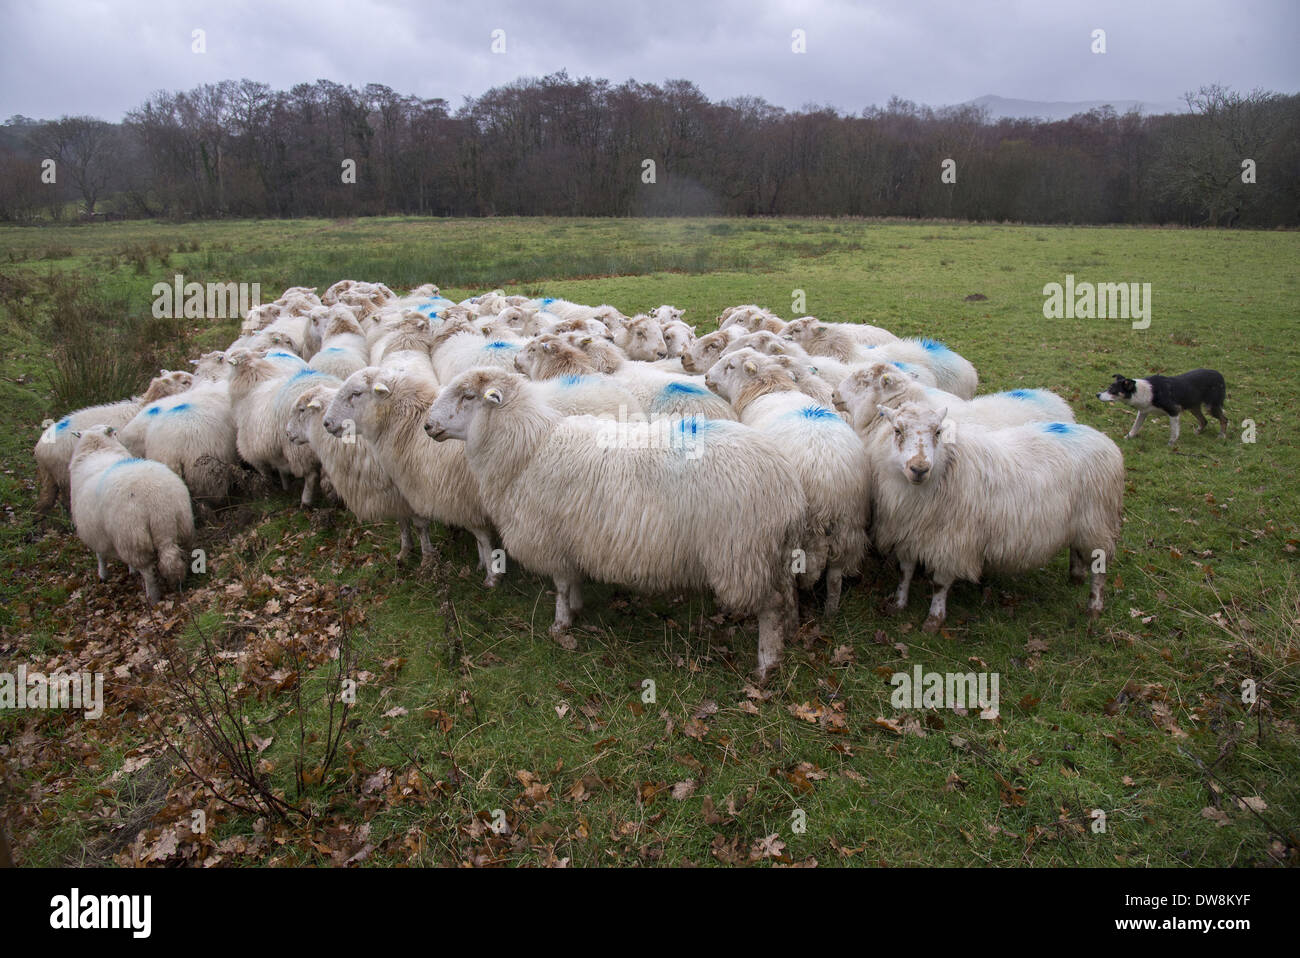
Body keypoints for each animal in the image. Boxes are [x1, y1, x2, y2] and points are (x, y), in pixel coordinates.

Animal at [68, 425, 194, 604]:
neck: (97, 450)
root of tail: (157, 504)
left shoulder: (96, 533)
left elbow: (100, 555)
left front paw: (103, 575)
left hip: (133, 538)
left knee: (148, 572)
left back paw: (153, 598)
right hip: (183, 522)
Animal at [285, 382, 433, 565]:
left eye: (301, 410)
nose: (287, 433)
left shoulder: (410, 492)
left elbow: (420, 526)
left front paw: (427, 558)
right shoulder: (395, 496)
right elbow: (402, 523)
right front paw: (405, 550)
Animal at [422, 368, 806, 681]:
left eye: (467, 396)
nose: (427, 426)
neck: (529, 448)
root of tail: (788, 483)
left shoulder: (550, 537)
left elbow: (560, 586)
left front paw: (560, 625)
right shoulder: (572, 538)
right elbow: (572, 580)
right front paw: (577, 608)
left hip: (743, 554)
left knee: (771, 608)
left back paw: (766, 664)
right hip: (769, 556)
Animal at [705, 349, 870, 616]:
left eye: (730, 366)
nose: (707, 377)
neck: (769, 389)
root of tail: (831, 486)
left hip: (804, 531)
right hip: (850, 526)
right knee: (835, 575)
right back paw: (831, 611)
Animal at [867, 402, 1124, 631]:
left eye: (938, 432)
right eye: (897, 430)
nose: (919, 469)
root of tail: (1101, 437)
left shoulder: (953, 542)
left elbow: (939, 584)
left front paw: (934, 620)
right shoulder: (906, 533)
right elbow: (905, 572)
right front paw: (898, 604)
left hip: (1098, 521)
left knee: (1099, 567)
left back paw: (1094, 607)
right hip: (1081, 523)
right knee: (1076, 549)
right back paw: (1076, 576)